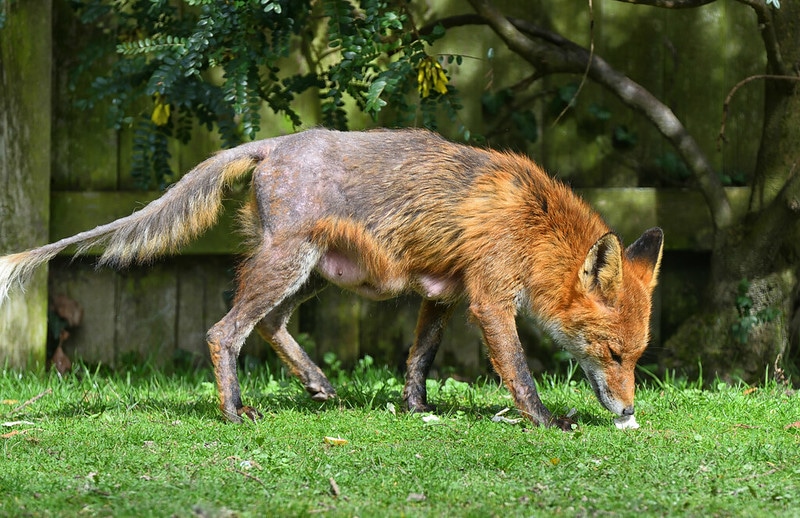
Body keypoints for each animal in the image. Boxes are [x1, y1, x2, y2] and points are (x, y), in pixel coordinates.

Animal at [0, 128, 663, 430]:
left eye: (636, 357)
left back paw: (317, 384)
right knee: (225, 331)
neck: (532, 224)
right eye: (611, 353)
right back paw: (234, 411)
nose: (630, 410)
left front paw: (417, 408)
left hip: (317, 273)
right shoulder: (489, 300)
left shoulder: (444, 293)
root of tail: (271, 143)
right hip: (290, 265)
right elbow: (519, 374)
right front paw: (547, 422)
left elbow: (419, 358)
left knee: (269, 325)